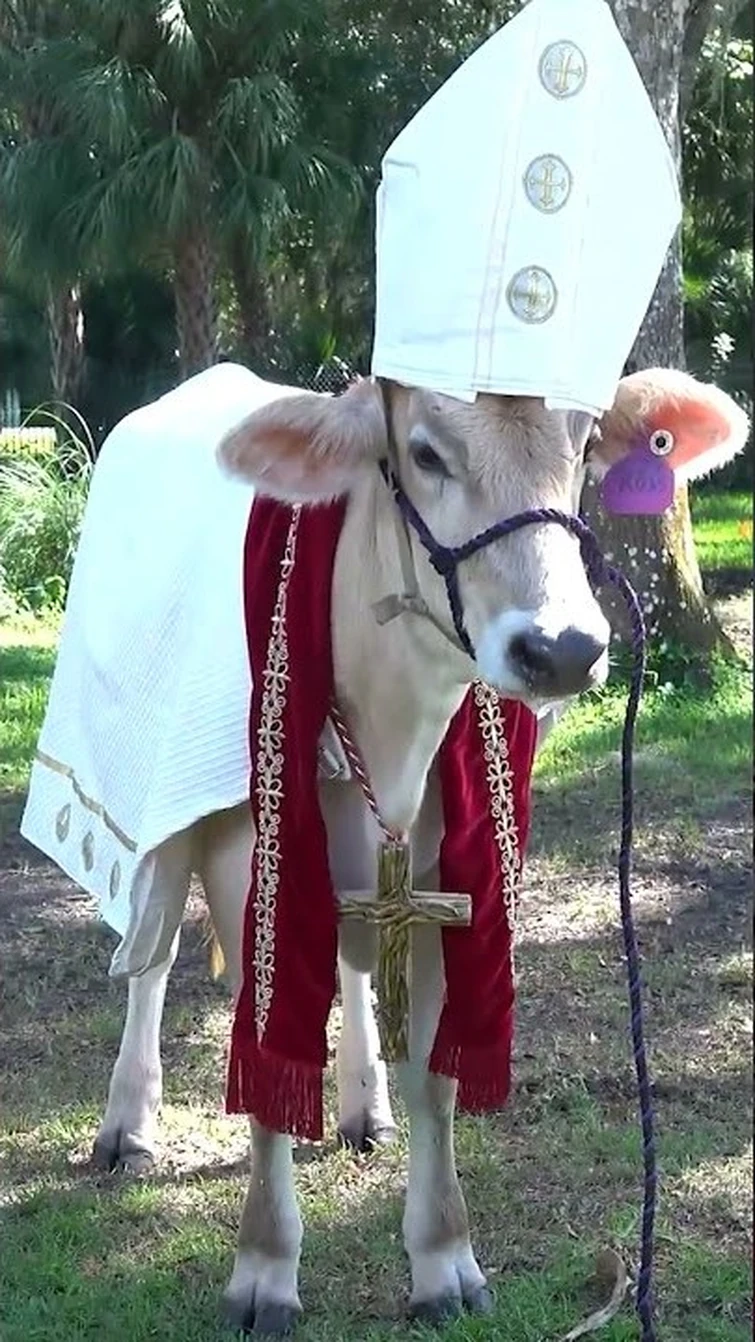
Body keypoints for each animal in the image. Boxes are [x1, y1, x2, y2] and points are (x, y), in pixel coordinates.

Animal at [25, 366, 747, 1335]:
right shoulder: (251, 874)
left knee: (353, 960)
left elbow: (433, 1078)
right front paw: (264, 1273)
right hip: (154, 818)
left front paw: (445, 1262)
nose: (559, 649)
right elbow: (266, 1074)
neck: (395, 725)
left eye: (587, 444)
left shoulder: (446, 886)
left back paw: (361, 1108)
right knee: (151, 953)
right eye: (426, 453)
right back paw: (128, 1125)